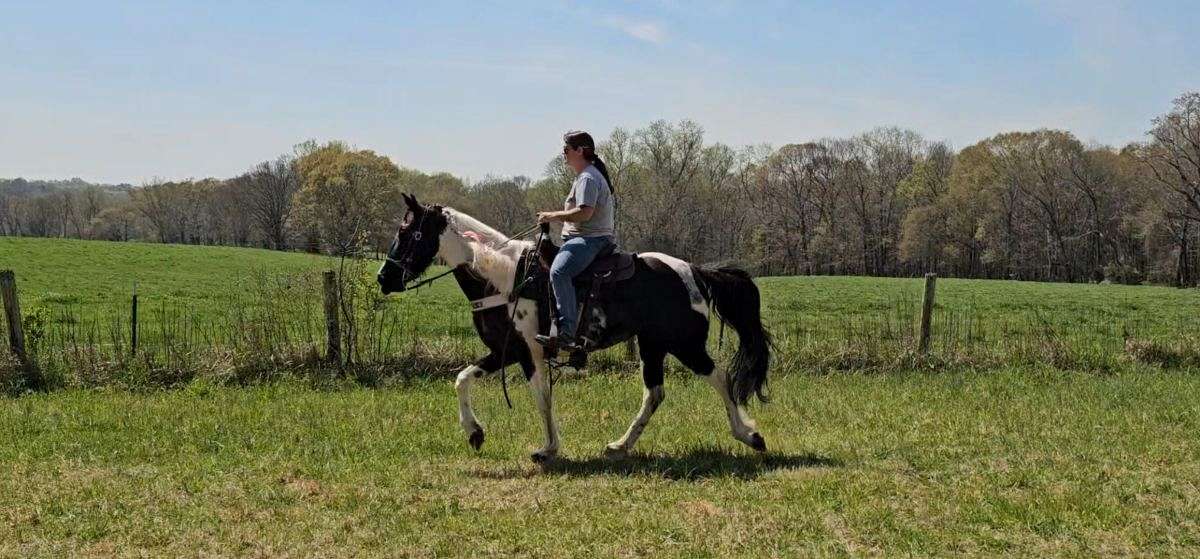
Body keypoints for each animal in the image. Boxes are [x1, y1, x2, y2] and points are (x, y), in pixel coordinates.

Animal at [376, 193, 772, 463]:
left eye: (408, 233)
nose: (384, 278)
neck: (503, 276)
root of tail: (694, 270)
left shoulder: (529, 352)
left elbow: (541, 397)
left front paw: (548, 449)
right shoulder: (504, 350)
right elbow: (461, 379)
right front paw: (475, 433)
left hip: (684, 343)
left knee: (719, 376)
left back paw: (749, 435)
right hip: (652, 345)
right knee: (655, 393)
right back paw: (620, 445)